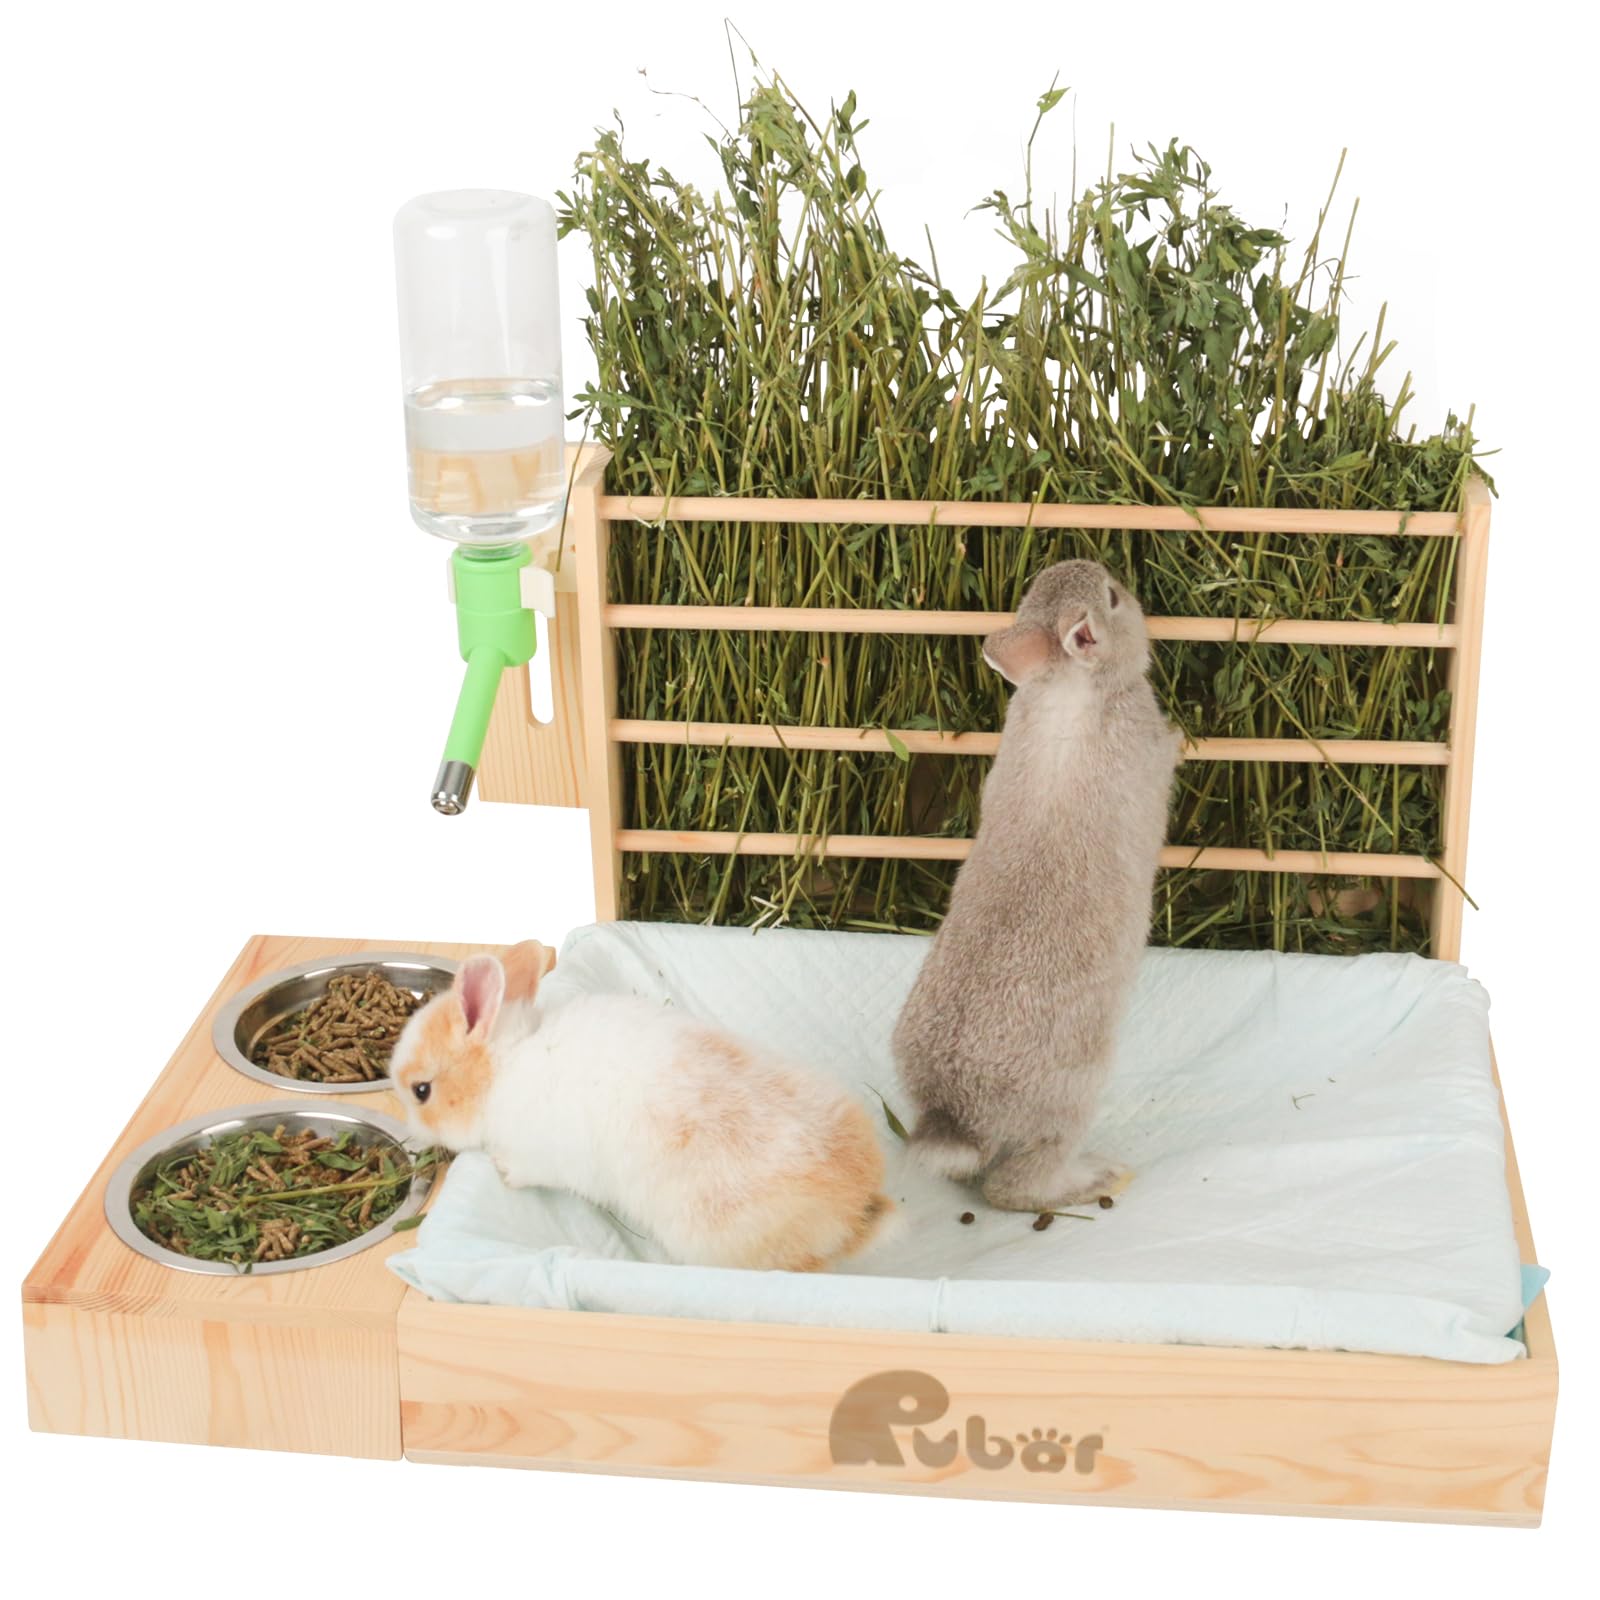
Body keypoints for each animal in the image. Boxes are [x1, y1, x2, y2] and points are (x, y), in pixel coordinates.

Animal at [390, 943, 895, 1272]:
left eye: (421, 1091)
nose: (413, 1133)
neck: (504, 1067)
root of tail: (856, 1204)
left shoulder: (546, 1156)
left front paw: (504, 1172)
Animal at [892, 560, 1181, 1211]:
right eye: (1113, 599)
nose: (1120, 579)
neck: (1068, 690)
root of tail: (956, 1112)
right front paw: (1183, 737)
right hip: (1069, 1098)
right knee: (1016, 1185)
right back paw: (1098, 1177)